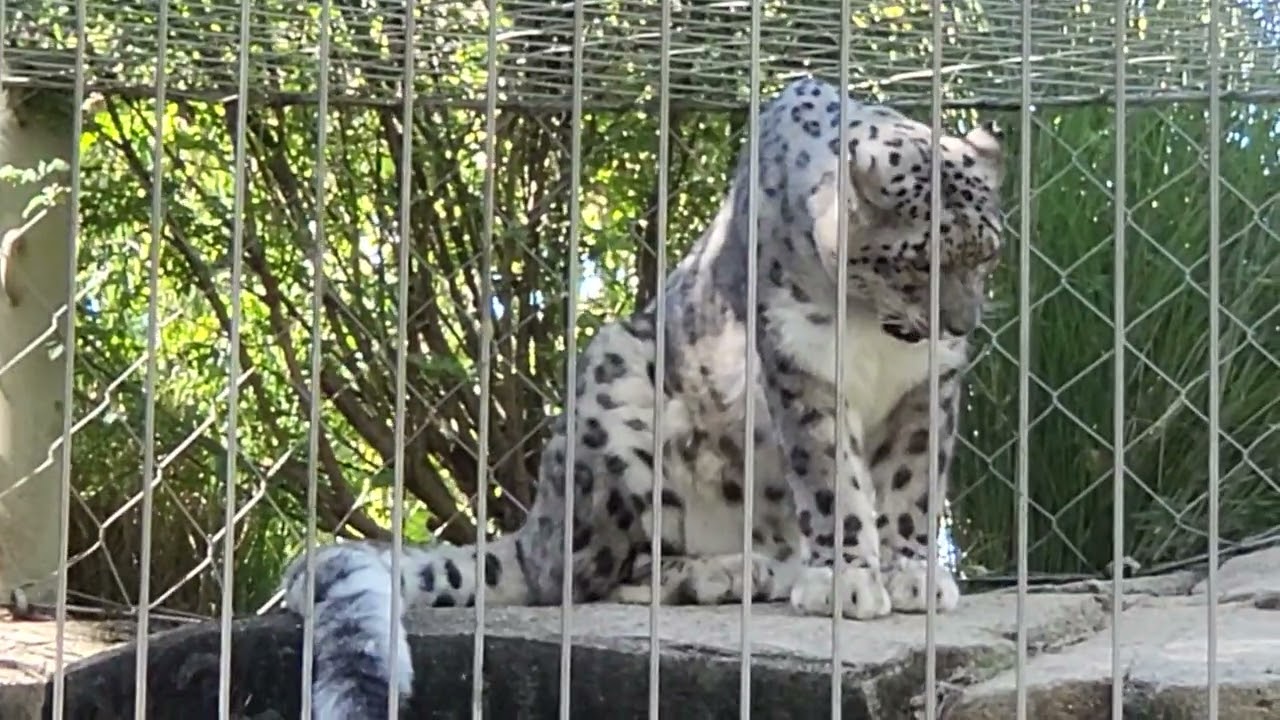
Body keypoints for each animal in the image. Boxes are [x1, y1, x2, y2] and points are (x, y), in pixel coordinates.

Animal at [278, 75, 1006, 719]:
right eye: (919, 263)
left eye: (988, 256)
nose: (962, 325)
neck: (874, 332)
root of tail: (538, 525)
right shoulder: (798, 366)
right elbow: (833, 481)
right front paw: (847, 578)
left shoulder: (928, 387)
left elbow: (911, 483)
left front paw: (913, 573)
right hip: (619, 395)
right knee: (585, 577)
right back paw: (732, 573)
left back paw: (770, 567)